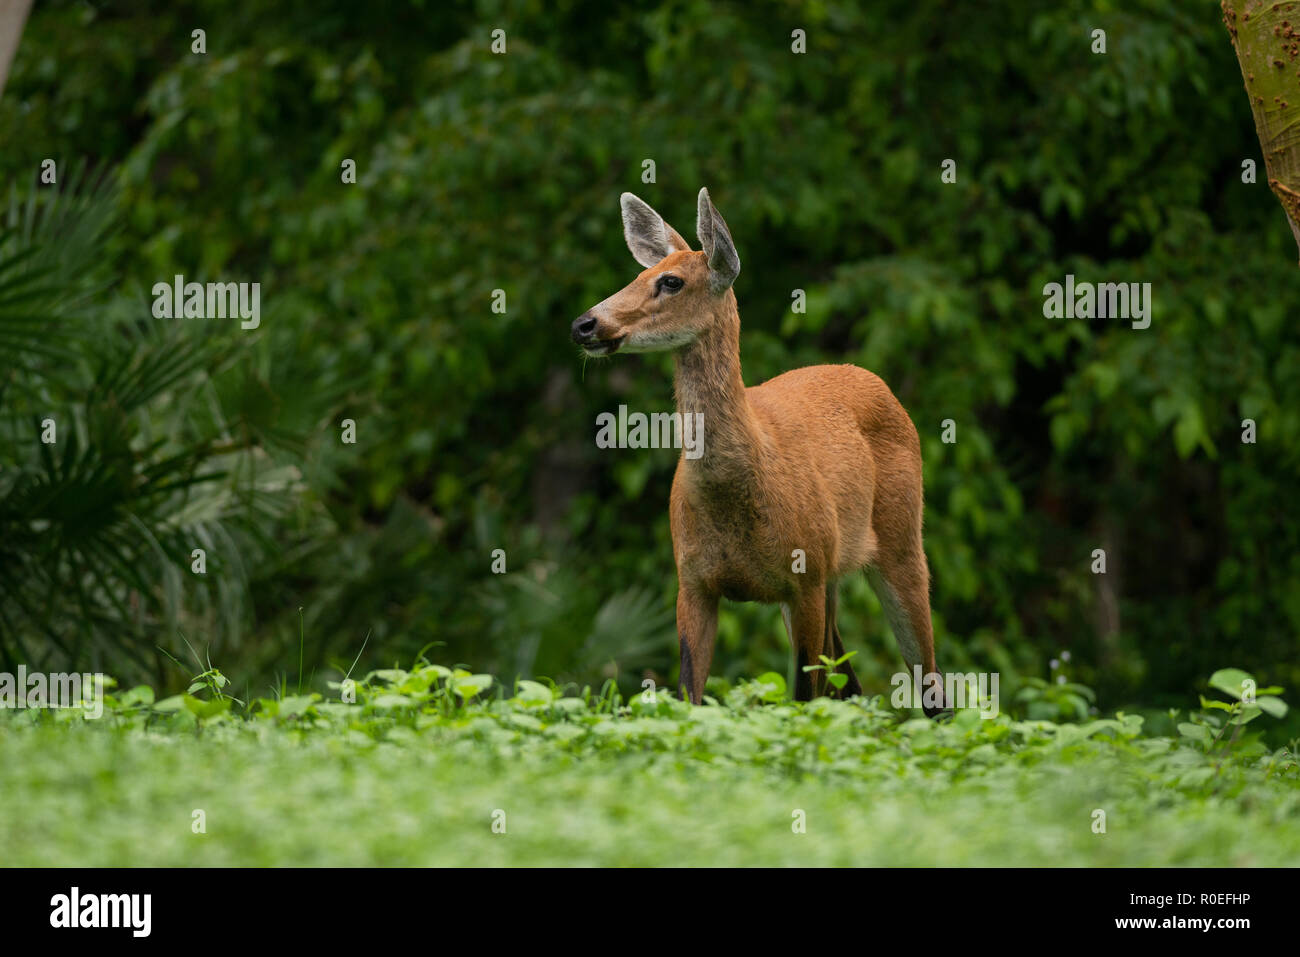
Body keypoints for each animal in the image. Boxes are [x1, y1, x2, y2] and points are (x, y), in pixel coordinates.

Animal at [571, 188, 948, 716]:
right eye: (638, 274)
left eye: (670, 281)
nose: (584, 325)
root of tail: (873, 378)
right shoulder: (693, 583)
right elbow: (690, 697)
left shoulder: (803, 577)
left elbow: (802, 700)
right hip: (832, 576)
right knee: (851, 683)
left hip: (899, 543)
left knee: (932, 690)